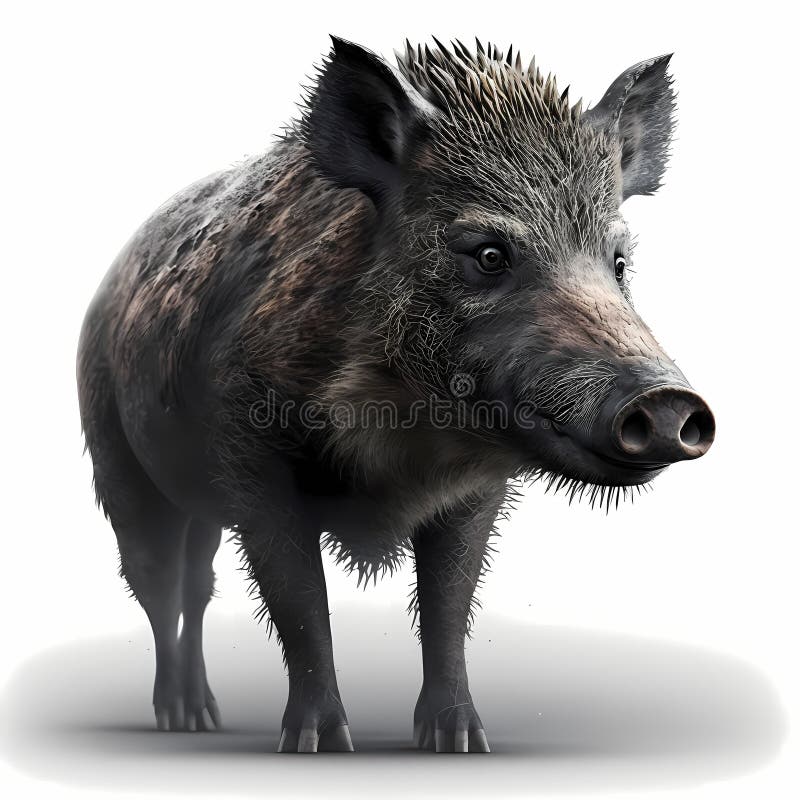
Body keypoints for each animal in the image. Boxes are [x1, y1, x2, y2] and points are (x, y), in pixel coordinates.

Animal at [76, 37, 715, 753]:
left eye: (619, 262)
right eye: (488, 254)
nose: (666, 401)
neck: (406, 433)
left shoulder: (474, 492)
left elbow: (448, 601)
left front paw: (462, 742)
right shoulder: (249, 460)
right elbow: (300, 599)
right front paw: (320, 745)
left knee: (197, 586)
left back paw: (203, 715)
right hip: (118, 464)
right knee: (158, 587)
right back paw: (180, 719)